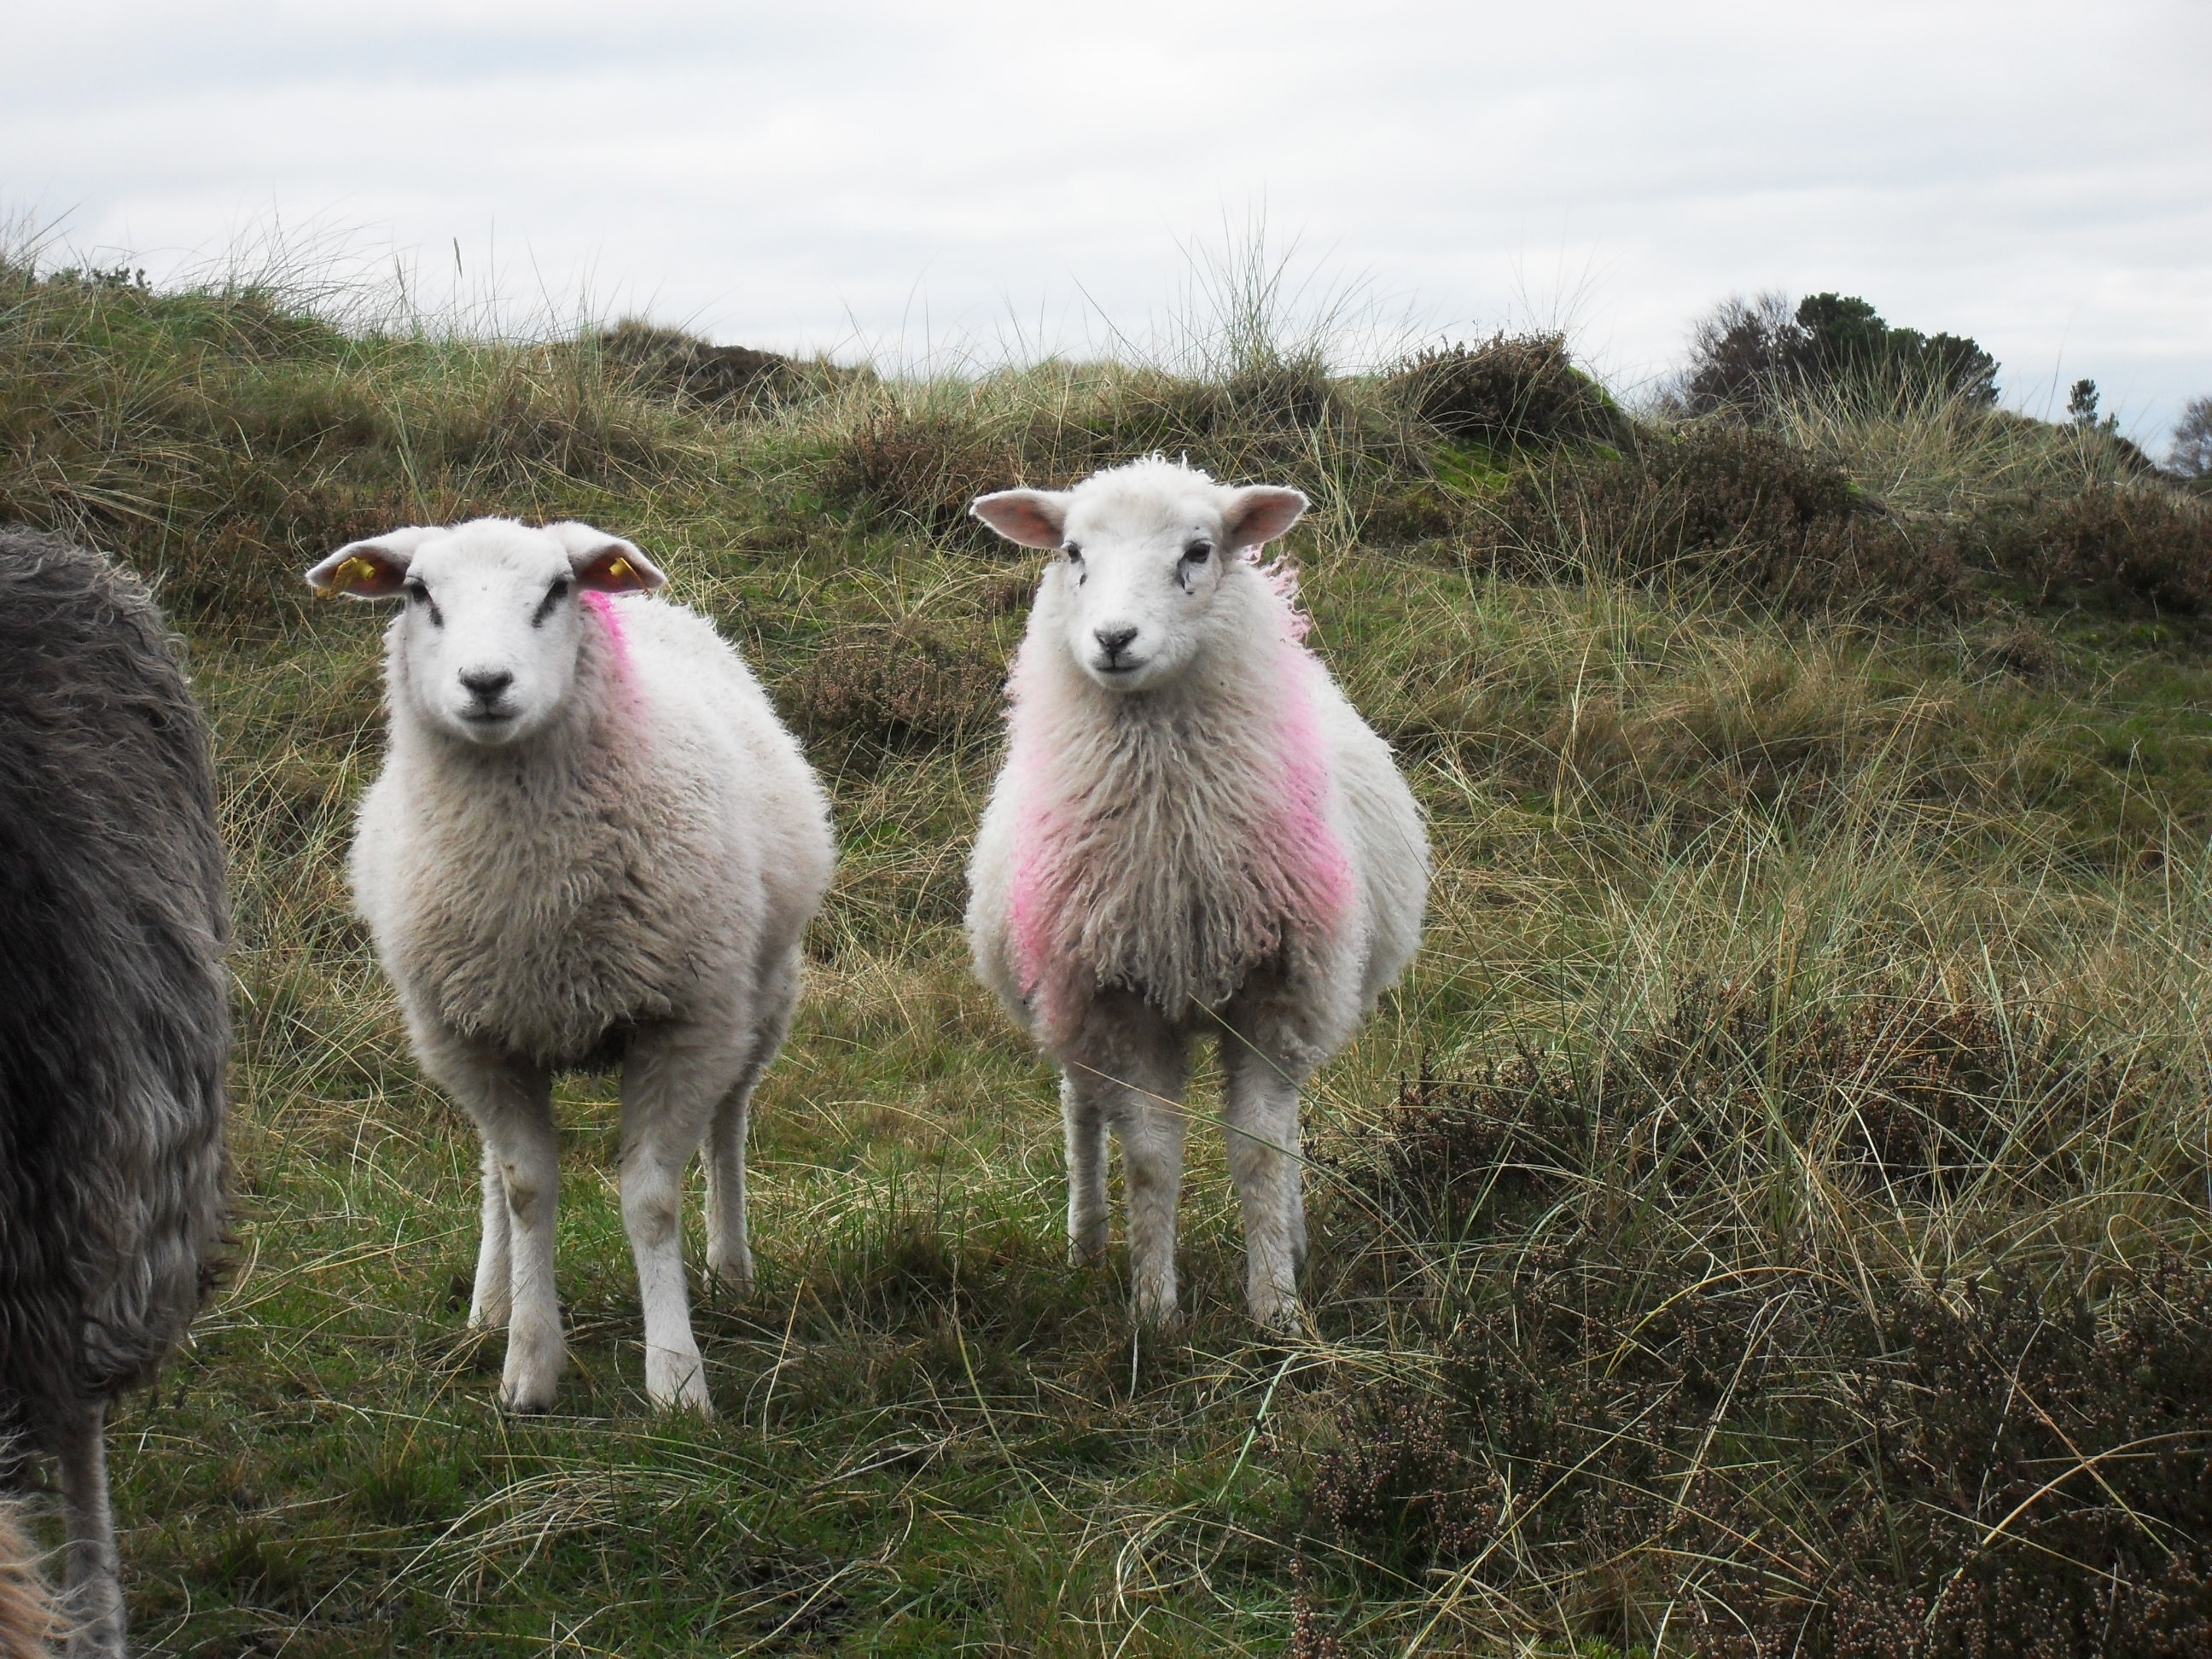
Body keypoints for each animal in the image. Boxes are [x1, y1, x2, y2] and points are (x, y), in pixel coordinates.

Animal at [307, 518, 832, 1416]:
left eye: (555, 592)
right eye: (418, 593)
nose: (486, 683)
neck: (535, 893)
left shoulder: (682, 1023)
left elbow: (651, 1202)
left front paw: (676, 1379)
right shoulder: (476, 1037)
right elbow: (526, 1191)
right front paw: (528, 1360)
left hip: (759, 997)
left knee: (729, 1123)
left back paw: (731, 1267)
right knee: (492, 1169)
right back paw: (489, 1299)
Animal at [965, 457, 1428, 1328]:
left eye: (1198, 551)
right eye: (1072, 551)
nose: (1114, 639)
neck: (1173, 845)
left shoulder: (1276, 994)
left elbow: (1260, 1150)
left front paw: (1276, 1306)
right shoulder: (1116, 1001)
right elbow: (1151, 1158)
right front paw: (1155, 1313)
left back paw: (1294, 1237)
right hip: (1064, 988)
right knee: (1081, 1107)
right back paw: (1087, 1241)